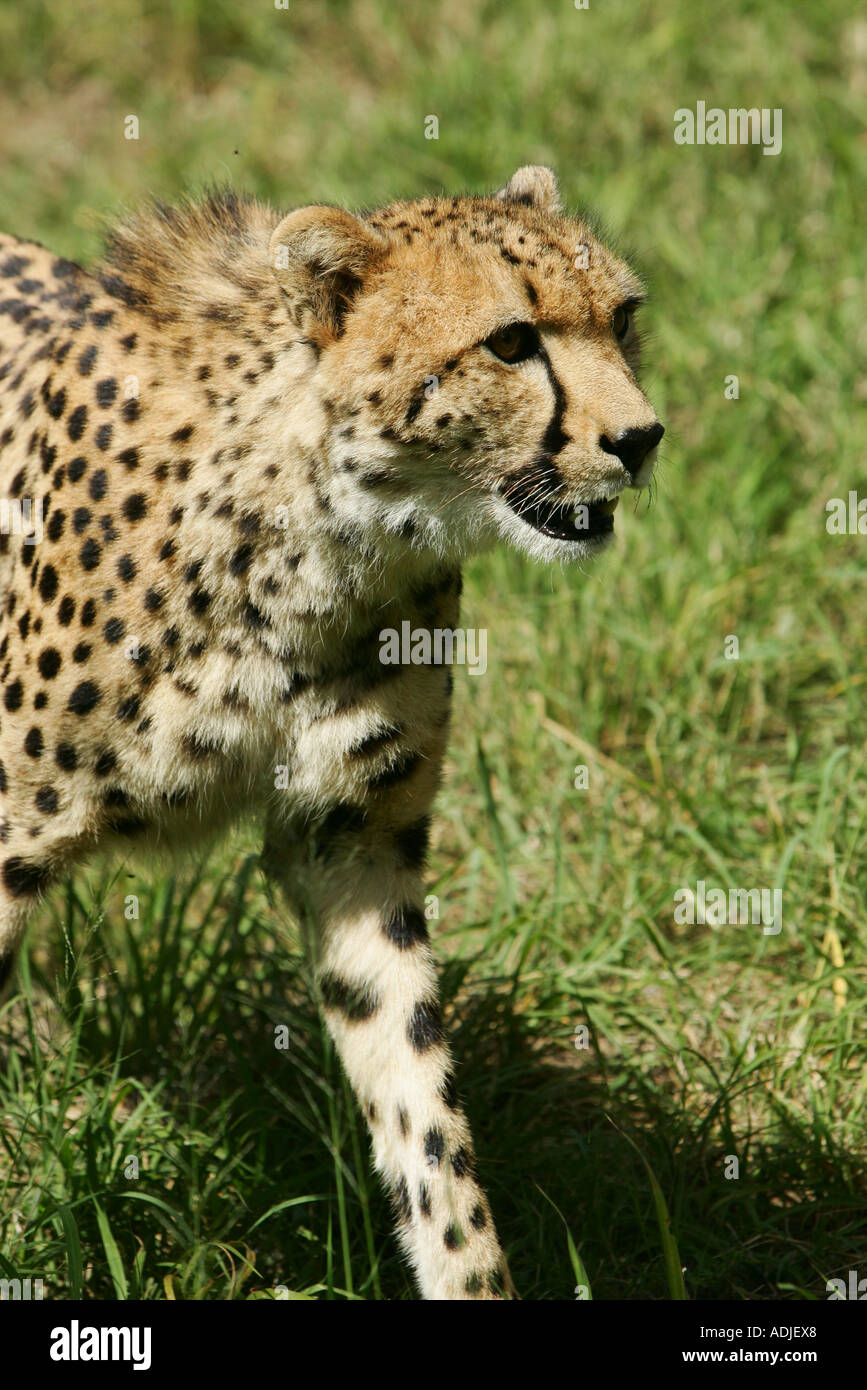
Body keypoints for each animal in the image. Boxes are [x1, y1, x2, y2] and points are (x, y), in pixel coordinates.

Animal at [0, 165, 663, 1300]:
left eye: (621, 319)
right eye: (511, 342)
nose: (641, 438)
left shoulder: (353, 844)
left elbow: (423, 1111)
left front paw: (466, 1271)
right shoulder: (8, 830)